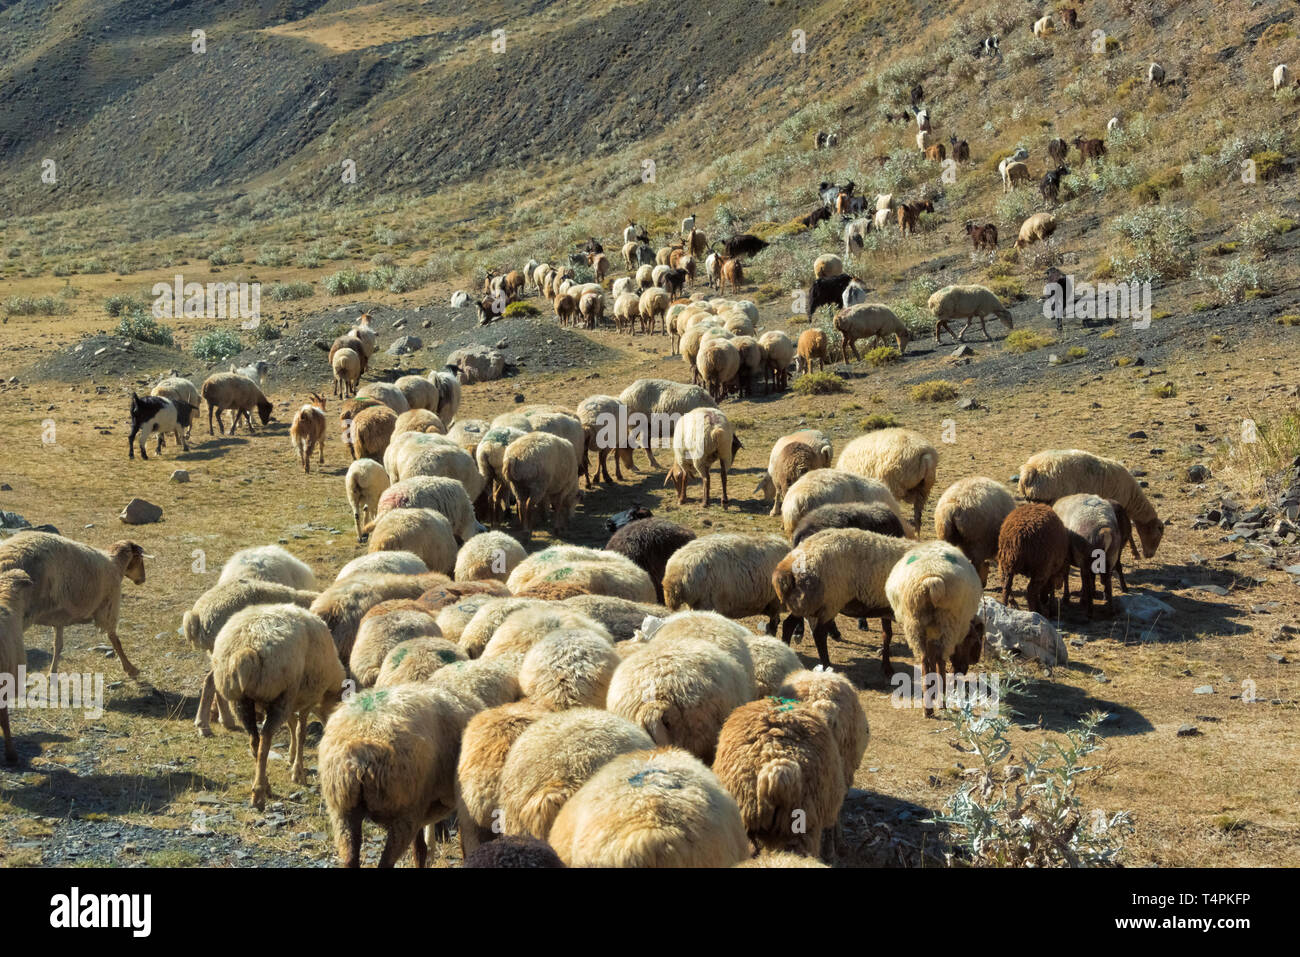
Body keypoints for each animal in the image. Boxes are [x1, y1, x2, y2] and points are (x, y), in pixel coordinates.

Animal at [211, 604, 346, 808]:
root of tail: (245, 651)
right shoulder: (305, 699)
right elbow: (300, 731)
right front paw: (298, 772)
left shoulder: (292, 700)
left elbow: (292, 725)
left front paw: (291, 757)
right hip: (281, 692)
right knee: (265, 739)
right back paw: (259, 793)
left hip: (241, 700)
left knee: (254, 741)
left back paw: (264, 784)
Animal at [319, 684, 478, 867]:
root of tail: (362, 751)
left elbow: (421, 848)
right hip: (404, 812)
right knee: (386, 862)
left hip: (342, 811)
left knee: (350, 858)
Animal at [771, 528, 912, 670]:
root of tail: (787, 566)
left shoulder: (884, 606)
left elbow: (887, 635)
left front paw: (886, 666)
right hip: (828, 602)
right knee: (819, 634)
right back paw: (827, 665)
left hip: (805, 603)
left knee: (788, 625)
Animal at [885, 542, 984, 716]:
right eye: (971, 642)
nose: (964, 669)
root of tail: (931, 580)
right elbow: (936, 658)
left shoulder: (930, 632)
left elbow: (930, 656)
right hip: (948, 622)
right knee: (941, 660)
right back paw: (942, 703)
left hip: (914, 622)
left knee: (924, 658)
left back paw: (928, 708)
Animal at [1017, 449, 1163, 557]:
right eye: (1157, 536)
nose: (1149, 555)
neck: (1132, 499)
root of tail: (1030, 469)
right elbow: (1130, 532)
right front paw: (1135, 552)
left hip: (1035, 501)